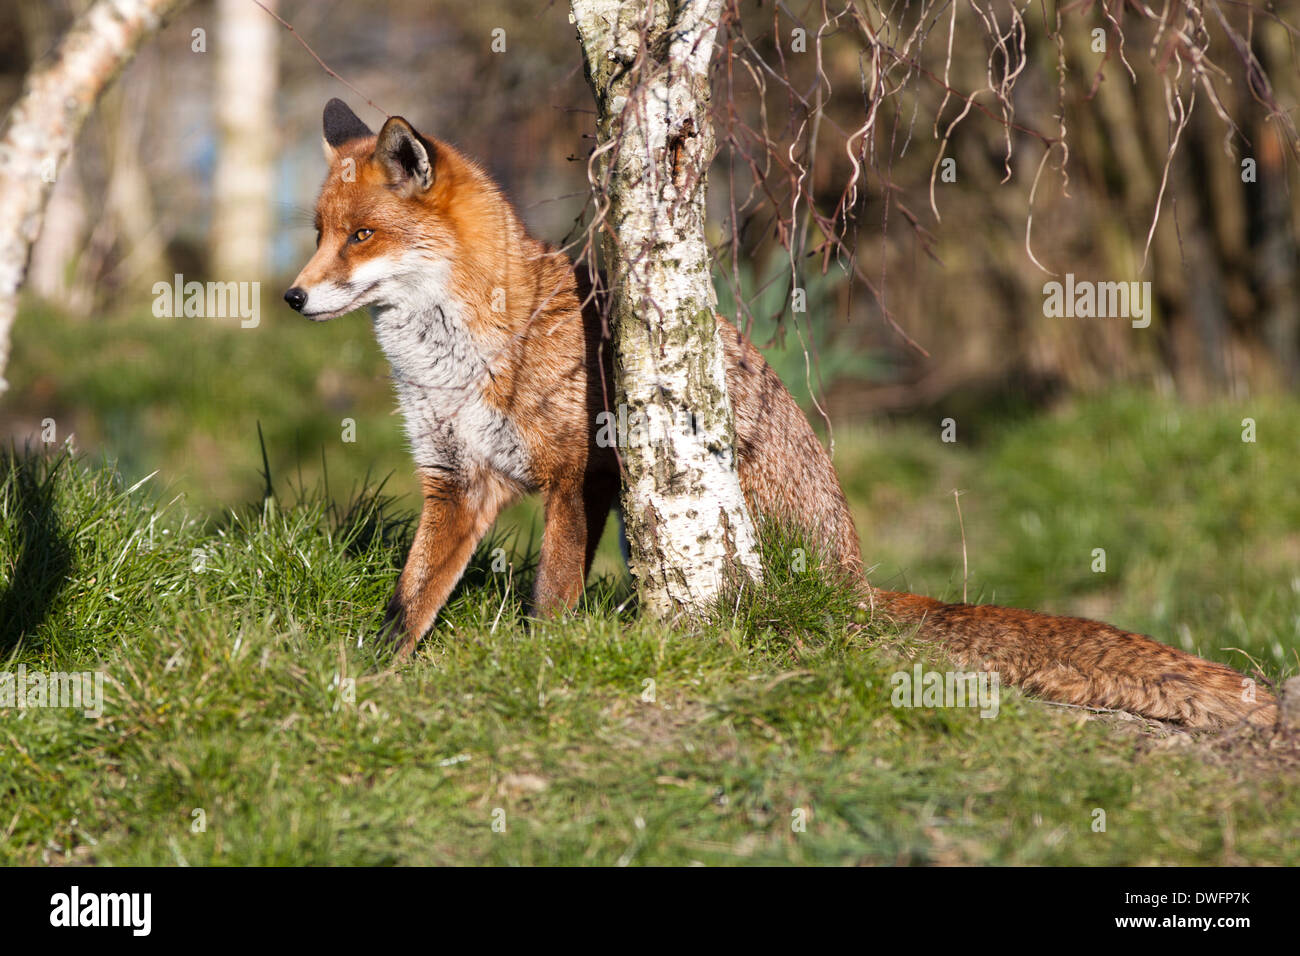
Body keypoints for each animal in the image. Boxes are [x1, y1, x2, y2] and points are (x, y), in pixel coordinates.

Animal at [285, 98, 1276, 732]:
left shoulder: (581, 475)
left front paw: (541, 669)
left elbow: (549, 600)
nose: (291, 297)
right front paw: (369, 679)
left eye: (363, 237)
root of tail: (850, 580)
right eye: (319, 231)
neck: (461, 357)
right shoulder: (456, 480)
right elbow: (409, 602)